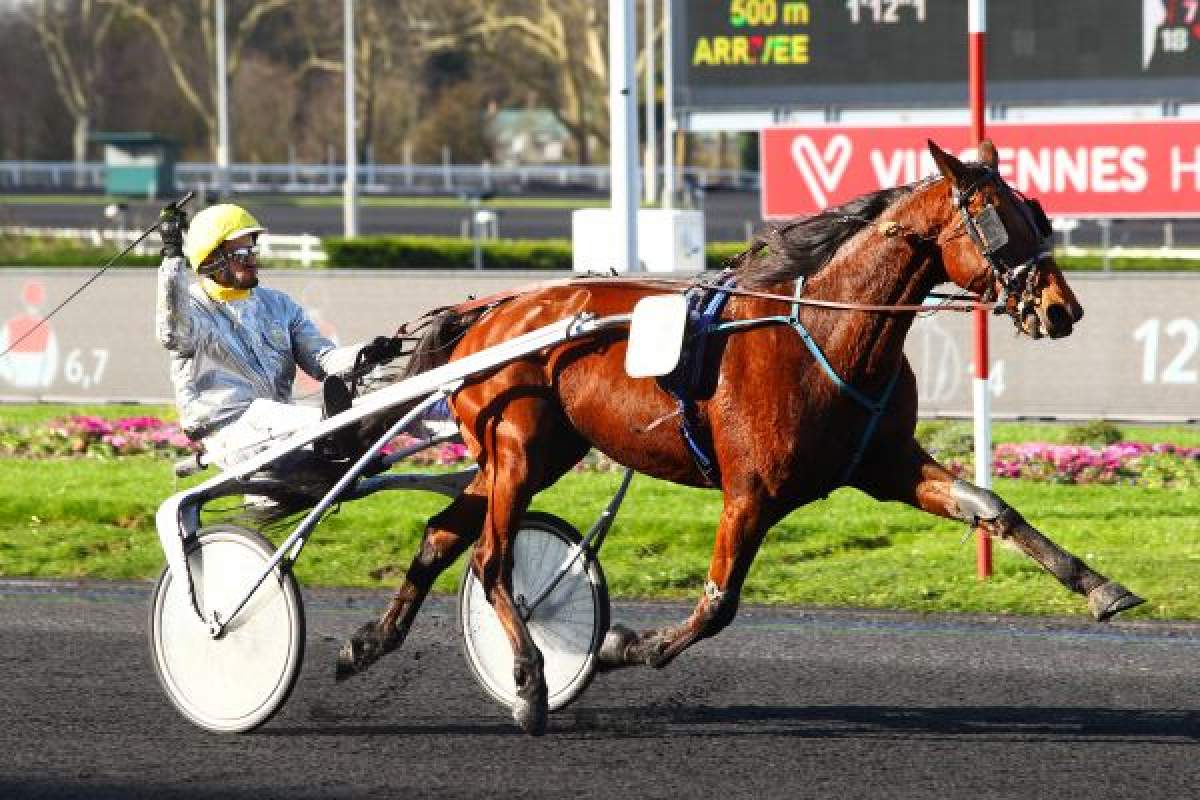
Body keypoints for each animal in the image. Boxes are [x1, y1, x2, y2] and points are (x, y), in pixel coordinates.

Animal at [334, 139, 1144, 735]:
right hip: (519, 446)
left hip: (534, 452)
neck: (824, 333)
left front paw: (1102, 588)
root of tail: (488, 312)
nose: (1062, 308)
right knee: (490, 558)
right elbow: (719, 603)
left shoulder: (886, 464)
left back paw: (369, 642)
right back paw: (531, 682)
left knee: (443, 533)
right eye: (997, 217)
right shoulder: (751, 490)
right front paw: (625, 646)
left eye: (1035, 210)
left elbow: (991, 507)